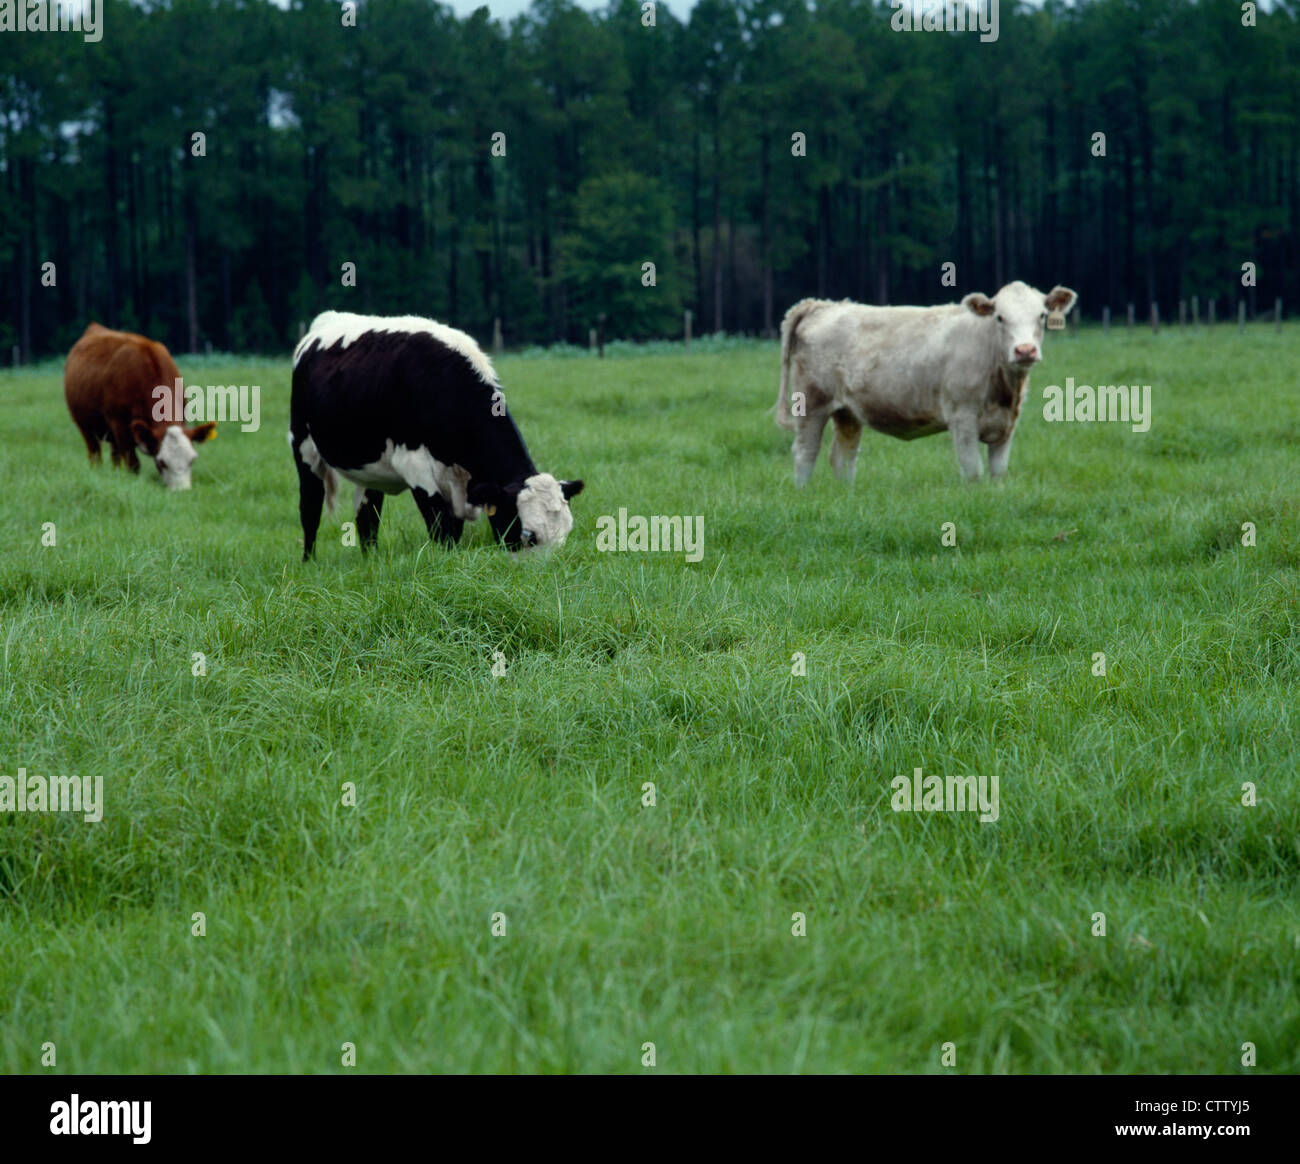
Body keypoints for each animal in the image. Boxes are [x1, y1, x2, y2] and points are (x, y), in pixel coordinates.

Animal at [64, 323, 217, 490]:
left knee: (114, 457)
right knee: (95, 454)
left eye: (192, 460)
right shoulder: (120, 427)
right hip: (85, 427)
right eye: (162, 462)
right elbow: (133, 465)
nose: (181, 491)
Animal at [290, 311, 584, 560]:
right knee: (310, 507)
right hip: (302, 444)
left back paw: (370, 561)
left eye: (565, 534)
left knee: (367, 516)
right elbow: (443, 530)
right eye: (528, 536)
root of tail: (326, 321)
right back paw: (309, 562)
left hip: (369, 467)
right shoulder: (416, 467)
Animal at [774, 281, 1078, 484]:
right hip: (811, 403)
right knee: (805, 454)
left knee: (843, 457)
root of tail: (822, 305)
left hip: (847, 412)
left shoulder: (1008, 424)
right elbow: (973, 471)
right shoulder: (962, 417)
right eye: (1000, 317)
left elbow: (998, 472)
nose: (1025, 350)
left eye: (1041, 315)